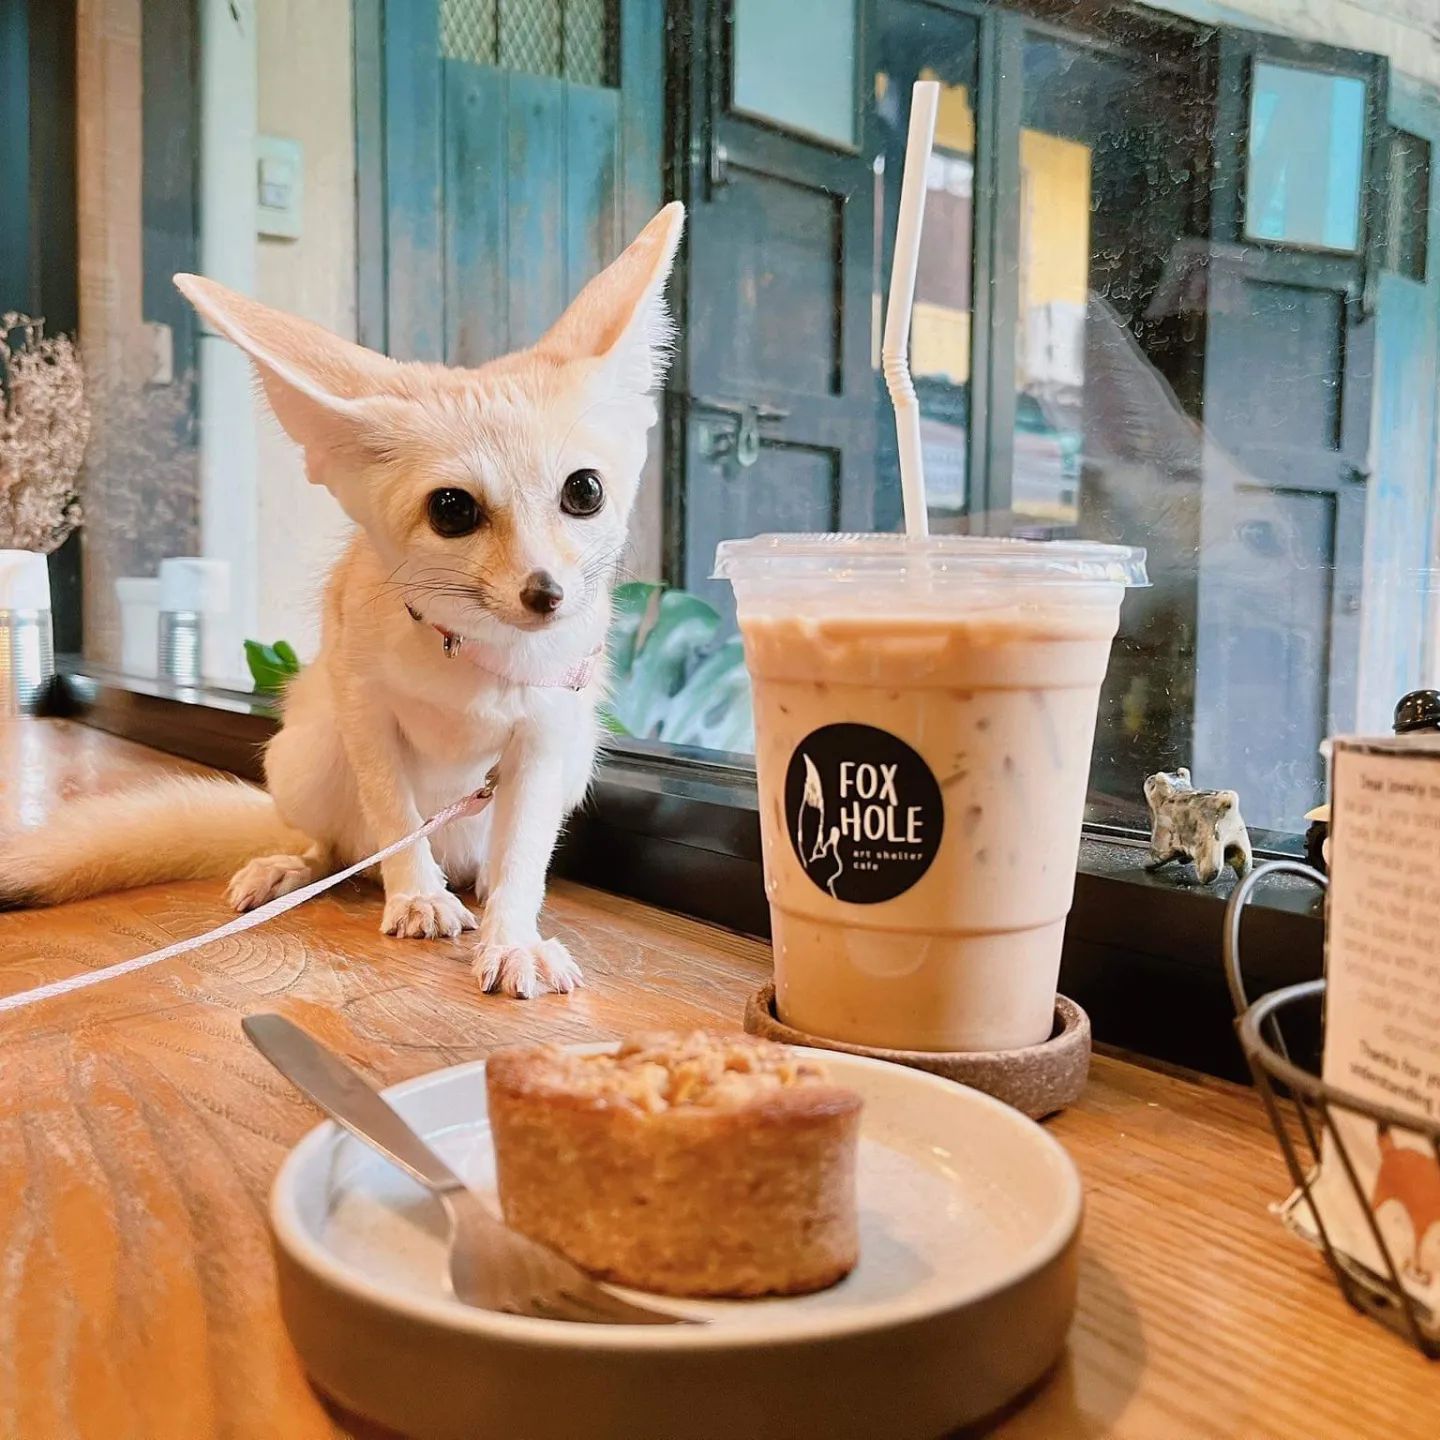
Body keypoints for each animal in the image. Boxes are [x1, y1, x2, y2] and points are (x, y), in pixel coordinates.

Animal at [0, 202, 686, 999]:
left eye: (585, 491)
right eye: (452, 510)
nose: (545, 594)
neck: (473, 658)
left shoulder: (546, 738)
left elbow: (522, 860)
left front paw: (514, 935)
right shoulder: (365, 714)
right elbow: (394, 816)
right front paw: (416, 897)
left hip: (571, 764)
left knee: (489, 860)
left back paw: (477, 886)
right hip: (310, 751)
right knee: (337, 847)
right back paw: (301, 866)